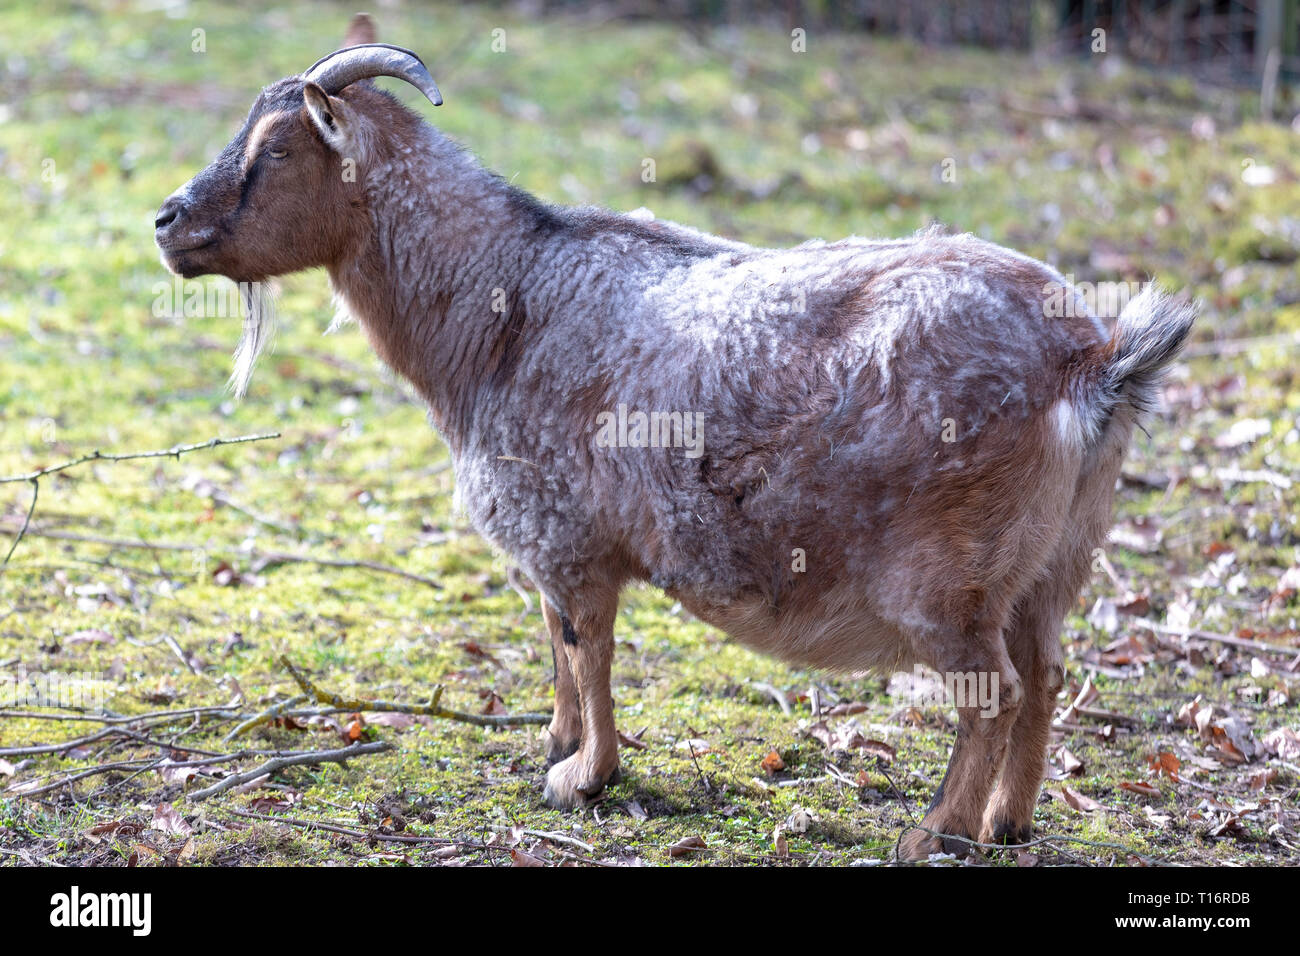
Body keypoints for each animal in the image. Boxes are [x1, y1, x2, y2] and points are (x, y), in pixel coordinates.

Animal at [154, 15, 1195, 859]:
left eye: (277, 149)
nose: (167, 221)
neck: (504, 309)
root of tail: (1090, 359)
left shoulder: (569, 539)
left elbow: (589, 651)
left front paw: (585, 777)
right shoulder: (553, 548)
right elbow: (557, 648)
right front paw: (556, 749)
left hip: (947, 577)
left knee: (995, 692)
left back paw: (934, 831)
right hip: (1054, 564)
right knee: (1047, 675)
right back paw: (1008, 823)